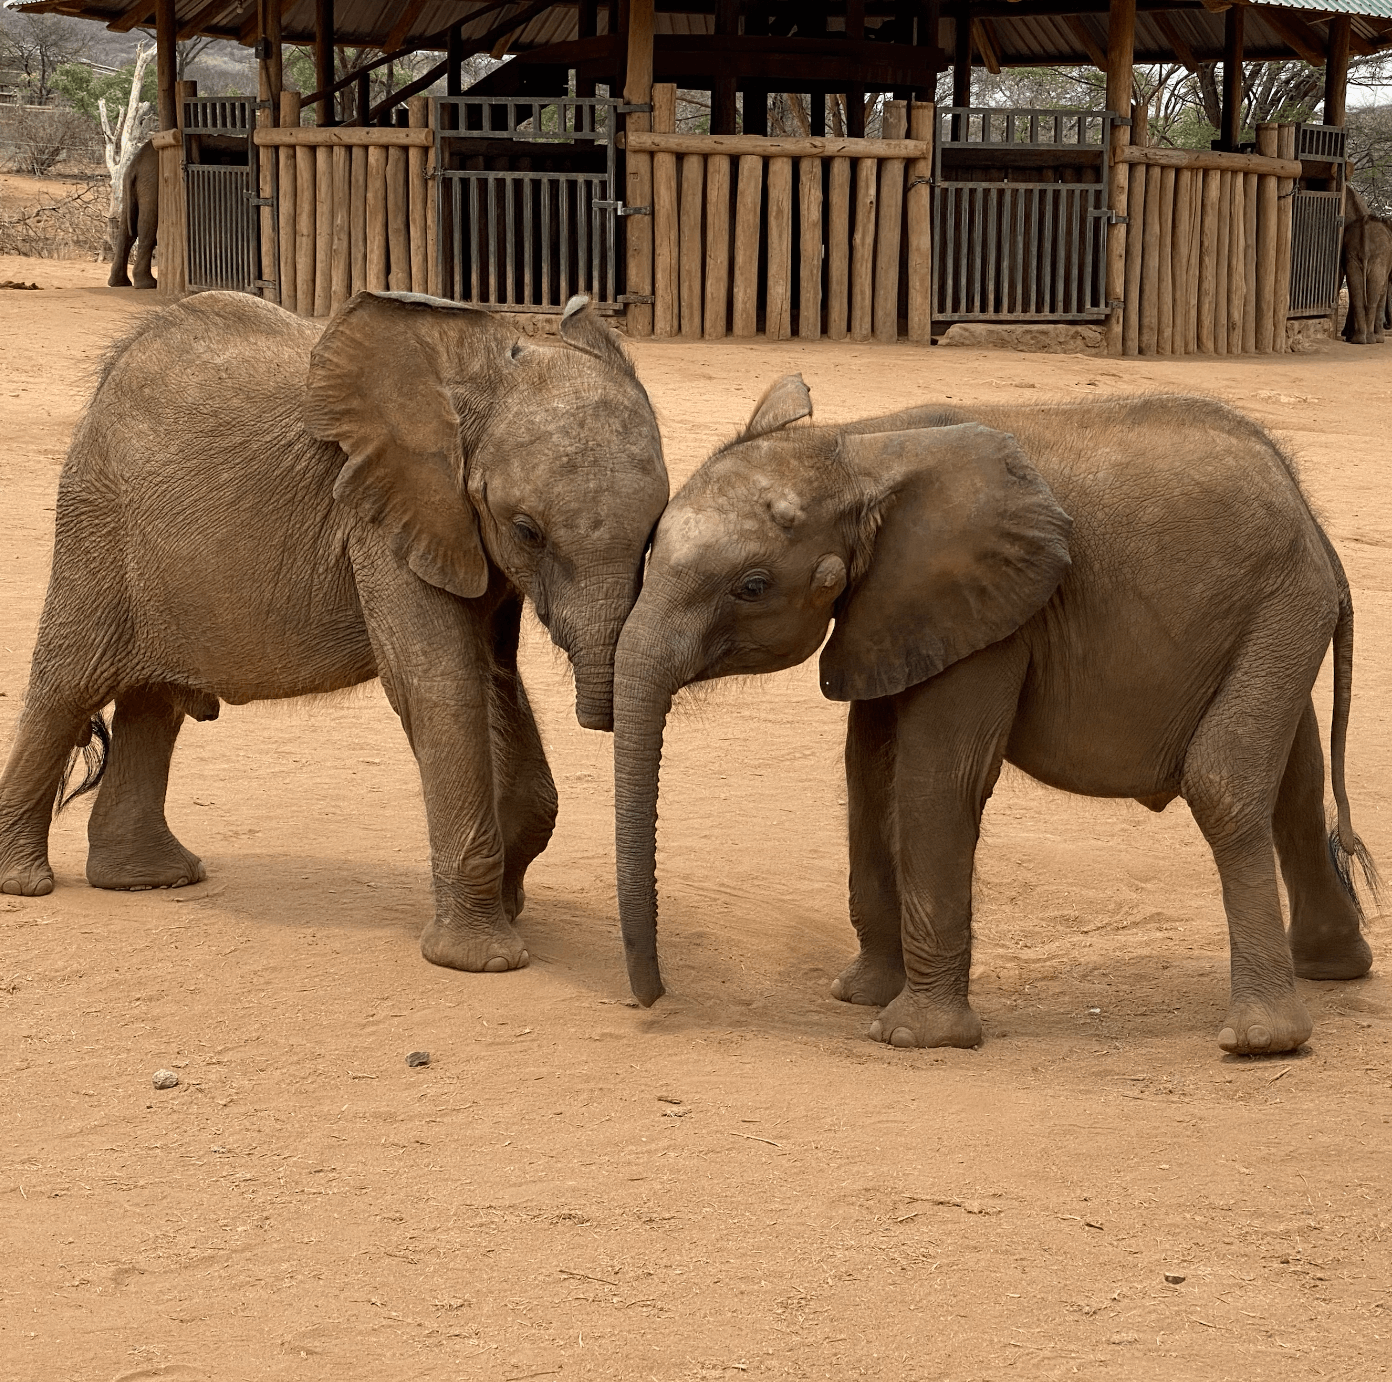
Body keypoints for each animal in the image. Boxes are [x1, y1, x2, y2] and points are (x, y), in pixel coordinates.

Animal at [0, 290, 668, 976]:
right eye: (528, 530)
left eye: (654, 532)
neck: (477, 376)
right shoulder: (383, 512)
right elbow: (440, 683)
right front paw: (484, 960)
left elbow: (496, 678)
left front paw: (510, 906)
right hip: (98, 523)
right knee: (67, 688)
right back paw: (27, 884)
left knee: (153, 702)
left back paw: (149, 880)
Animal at [611, 376, 1376, 1056]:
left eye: (752, 587)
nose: (654, 1001)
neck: (858, 449)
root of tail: (1308, 510)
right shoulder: (892, 608)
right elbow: (870, 772)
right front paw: (861, 996)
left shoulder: (991, 612)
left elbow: (940, 777)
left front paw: (911, 1037)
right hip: (1274, 616)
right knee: (1297, 777)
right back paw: (1330, 970)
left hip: (1282, 604)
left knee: (1224, 779)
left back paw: (1261, 1041)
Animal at [1340, 186, 1392, 345]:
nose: (1389, 325)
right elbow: (1383, 289)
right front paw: (1380, 339)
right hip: (1376, 259)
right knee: (1374, 292)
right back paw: (1370, 339)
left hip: (1353, 256)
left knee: (1356, 289)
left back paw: (1358, 339)